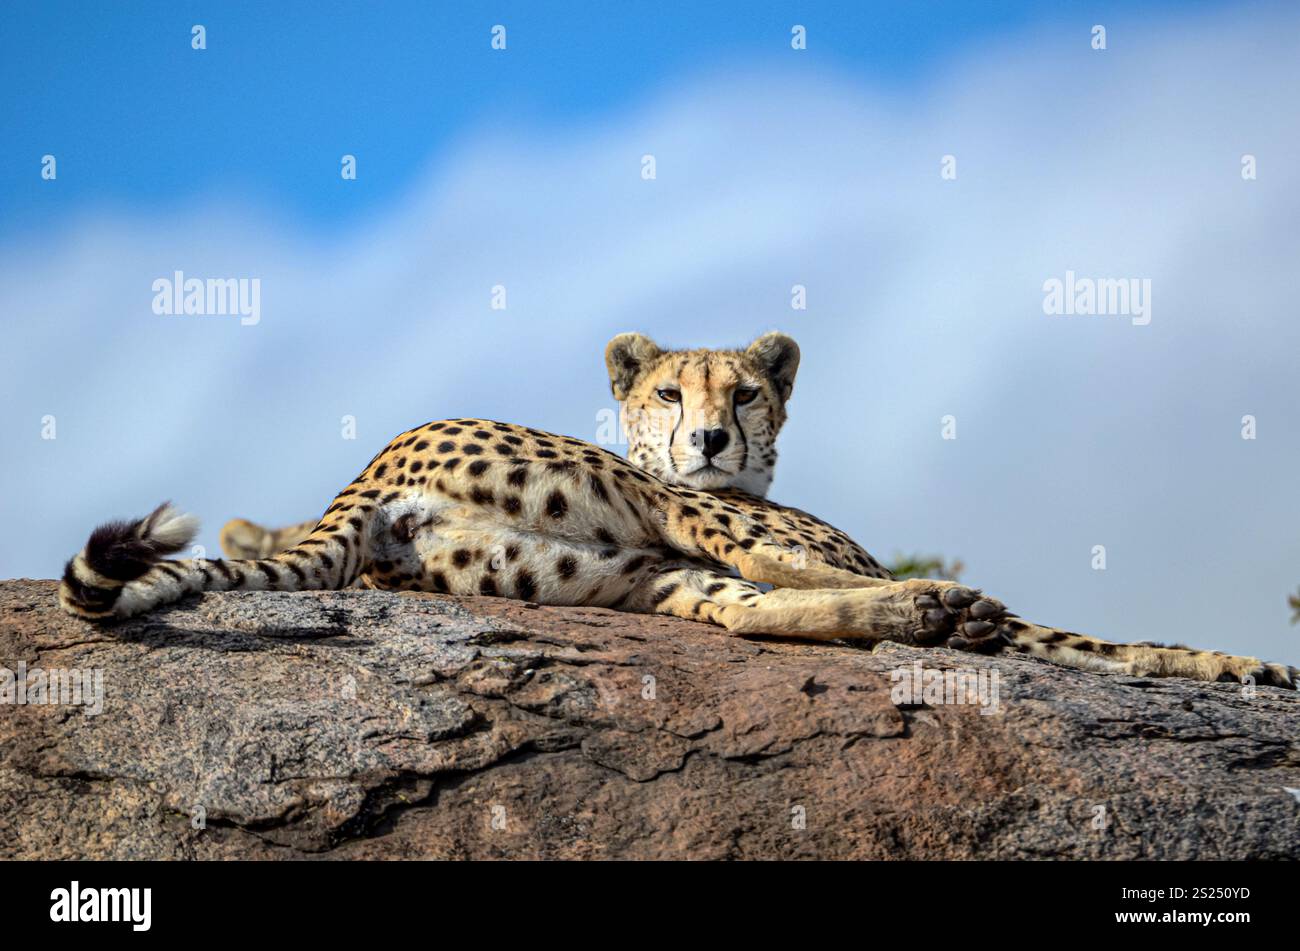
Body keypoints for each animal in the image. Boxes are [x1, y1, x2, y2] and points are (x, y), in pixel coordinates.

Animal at [59, 331, 1297, 689]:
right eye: (668, 393)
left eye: (741, 391)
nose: (705, 438)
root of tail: (364, 471)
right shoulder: (709, 508)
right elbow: (1084, 633)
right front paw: (1238, 666)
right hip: (660, 530)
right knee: (811, 577)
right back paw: (943, 609)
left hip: (609, 572)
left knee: (747, 609)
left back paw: (927, 616)